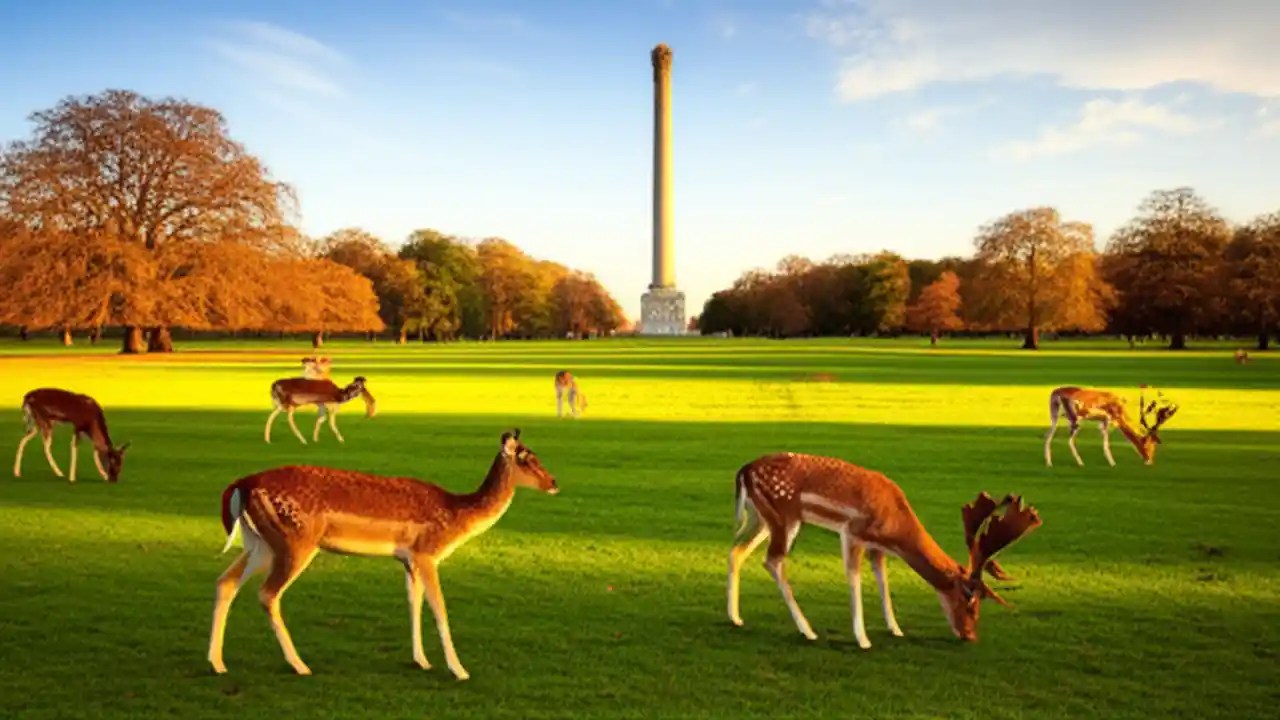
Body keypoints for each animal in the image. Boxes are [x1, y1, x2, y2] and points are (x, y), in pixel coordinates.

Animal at [208, 429, 559, 680]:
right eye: (526, 458)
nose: (554, 482)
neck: (456, 517)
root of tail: (242, 484)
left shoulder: (408, 559)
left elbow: (413, 603)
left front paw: (422, 661)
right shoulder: (427, 554)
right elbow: (440, 609)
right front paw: (459, 670)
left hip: (261, 543)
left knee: (225, 581)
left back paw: (217, 663)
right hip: (295, 541)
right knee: (267, 594)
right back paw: (299, 665)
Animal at [726, 452, 1041, 648]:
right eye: (970, 600)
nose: (970, 636)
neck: (895, 527)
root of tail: (743, 471)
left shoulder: (877, 547)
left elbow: (883, 582)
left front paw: (896, 629)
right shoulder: (852, 531)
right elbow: (854, 579)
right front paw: (863, 639)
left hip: (761, 518)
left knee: (736, 551)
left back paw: (736, 618)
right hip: (785, 515)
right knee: (773, 561)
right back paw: (808, 631)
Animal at [1044, 385, 1178, 467]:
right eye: (1152, 444)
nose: (1150, 460)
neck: (1120, 410)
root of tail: (1056, 393)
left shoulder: (1102, 421)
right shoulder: (1108, 419)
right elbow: (1106, 442)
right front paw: (1113, 463)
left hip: (1055, 416)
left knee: (1048, 436)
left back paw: (1049, 463)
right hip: (1076, 419)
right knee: (1069, 440)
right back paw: (1081, 463)